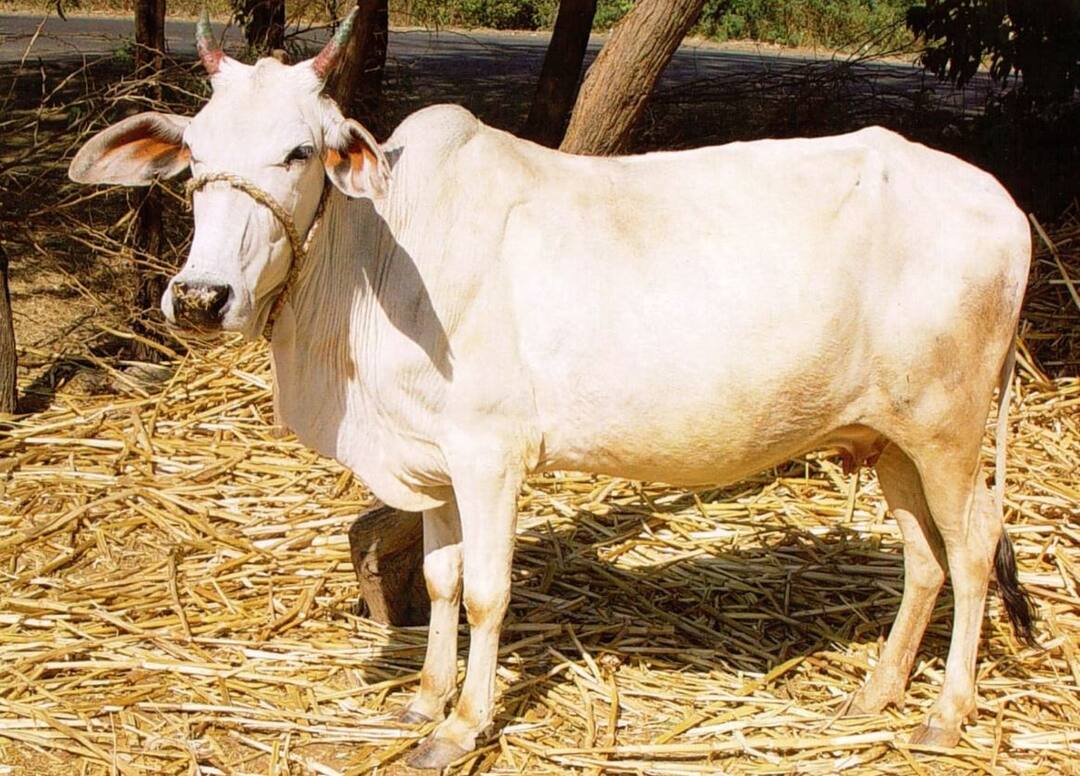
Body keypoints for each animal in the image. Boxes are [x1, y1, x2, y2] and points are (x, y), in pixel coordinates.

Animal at [68, 10, 1035, 769]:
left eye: (299, 150)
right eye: (193, 155)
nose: (200, 297)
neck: (377, 256)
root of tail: (1004, 204)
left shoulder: (490, 453)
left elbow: (488, 590)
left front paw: (461, 726)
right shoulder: (434, 458)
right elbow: (441, 579)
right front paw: (425, 695)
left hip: (949, 430)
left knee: (974, 547)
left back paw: (945, 715)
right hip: (890, 437)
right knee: (924, 558)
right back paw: (877, 692)